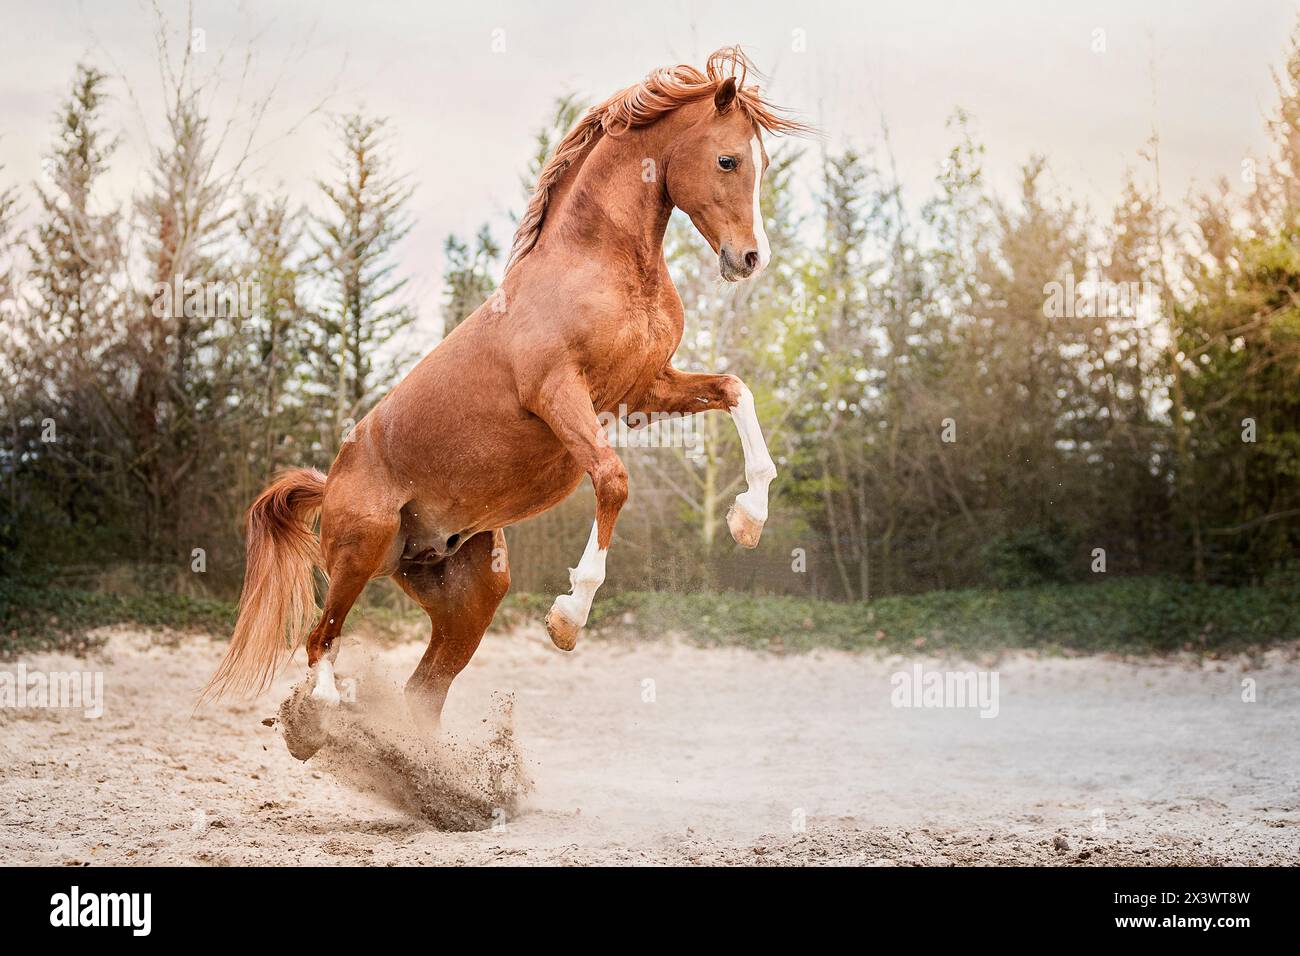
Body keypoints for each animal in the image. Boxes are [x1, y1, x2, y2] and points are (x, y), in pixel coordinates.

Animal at [203, 47, 808, 747]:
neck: (599, 265)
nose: (750, 258)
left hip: (470, 593)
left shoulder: (643, 390)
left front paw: (748, 519)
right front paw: (569, 615)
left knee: (421, 688)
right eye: (729, 160)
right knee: (319, 639)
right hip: (359, 553)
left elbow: (735, 391)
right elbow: (613, 480)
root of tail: (330, 483)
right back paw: (322, 720)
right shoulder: (559, 394)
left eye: (762, 164)